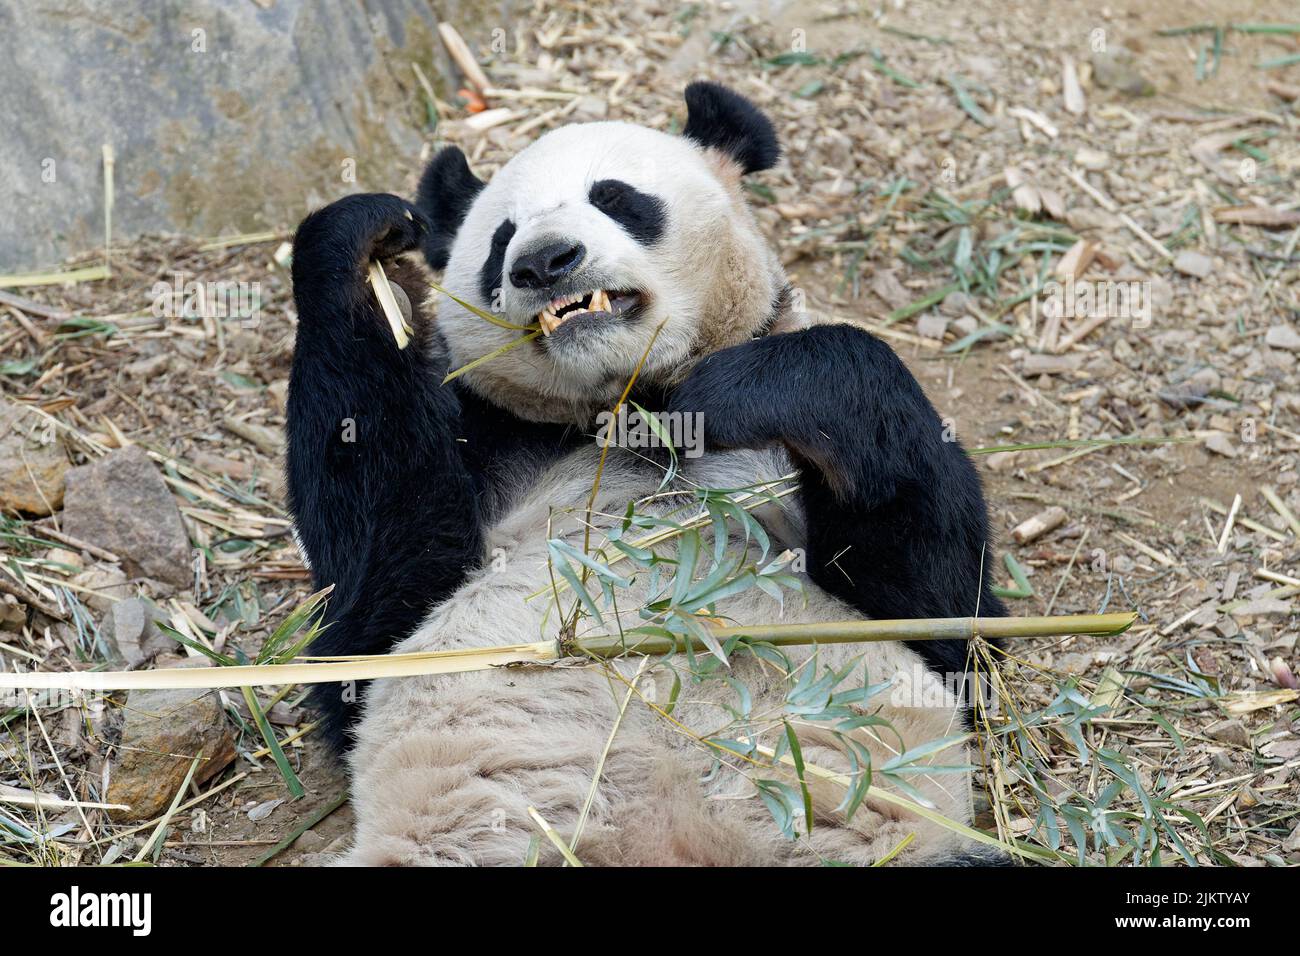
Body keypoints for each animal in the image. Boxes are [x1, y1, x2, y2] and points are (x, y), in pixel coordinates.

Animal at [286, 82, 1007, 866]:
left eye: (616, 197)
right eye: (502, 238)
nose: (545, 261)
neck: (627, 407)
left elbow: (947, 614)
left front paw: (735, 390)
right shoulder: (497, 453)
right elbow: (370, 616)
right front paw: (366, 245)